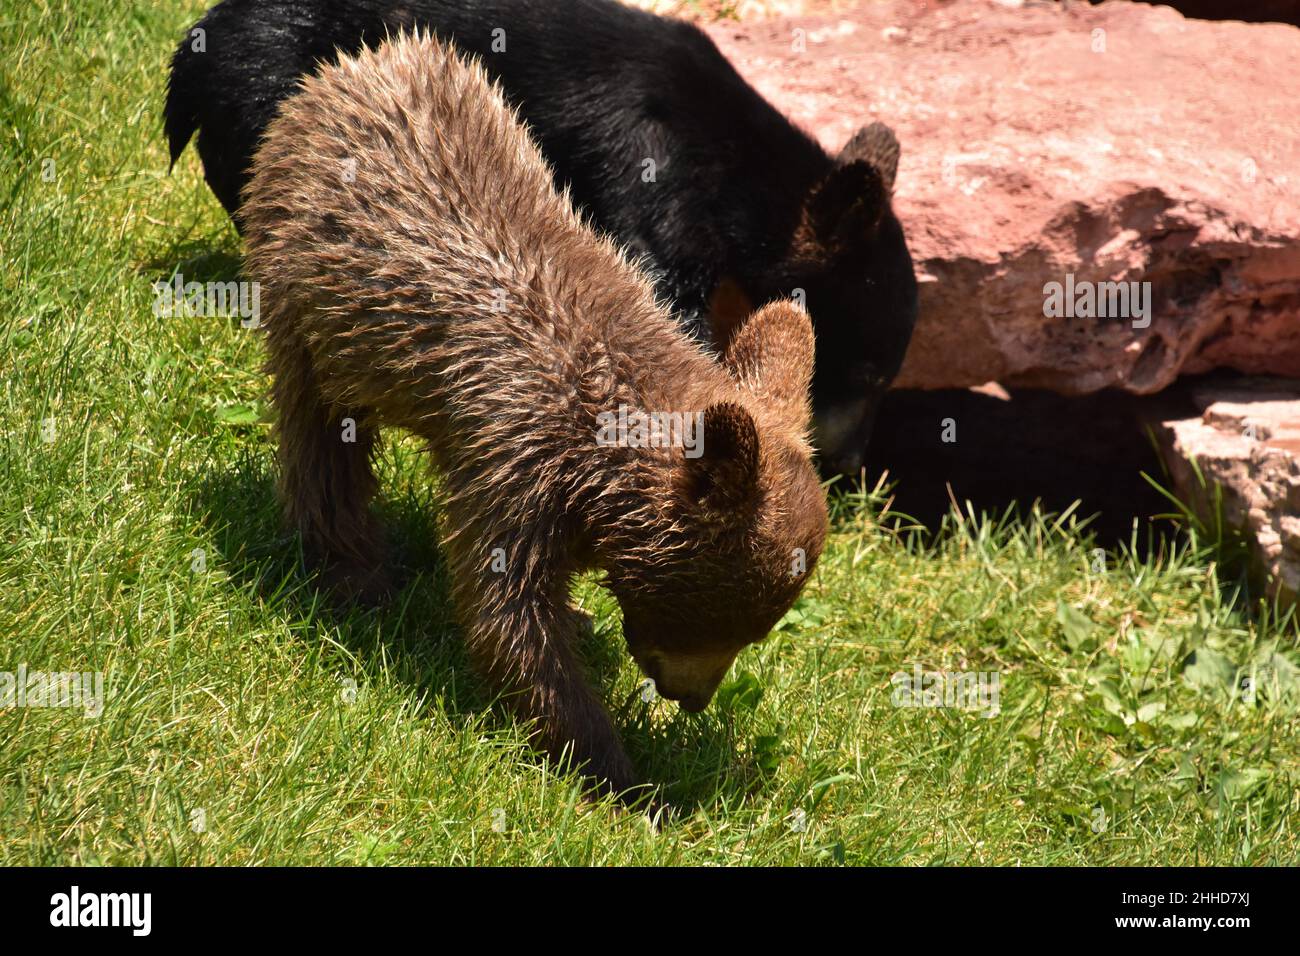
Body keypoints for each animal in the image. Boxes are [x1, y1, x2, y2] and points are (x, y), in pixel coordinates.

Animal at [165, 0, 919, 477]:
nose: (852, 467)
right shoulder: (643, 159)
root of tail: (194, 48)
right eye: (868, 373)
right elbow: (655, 277)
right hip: (276, 89)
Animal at [239, 31, 829, 800]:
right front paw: (615, 769)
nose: (692, 696)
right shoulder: (516, 454)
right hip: (309, 300)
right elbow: (509, 611)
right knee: (320, 441)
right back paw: (352, 571)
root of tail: (354, 66)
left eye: (751, 627)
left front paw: (582, 627)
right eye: (724, 617)